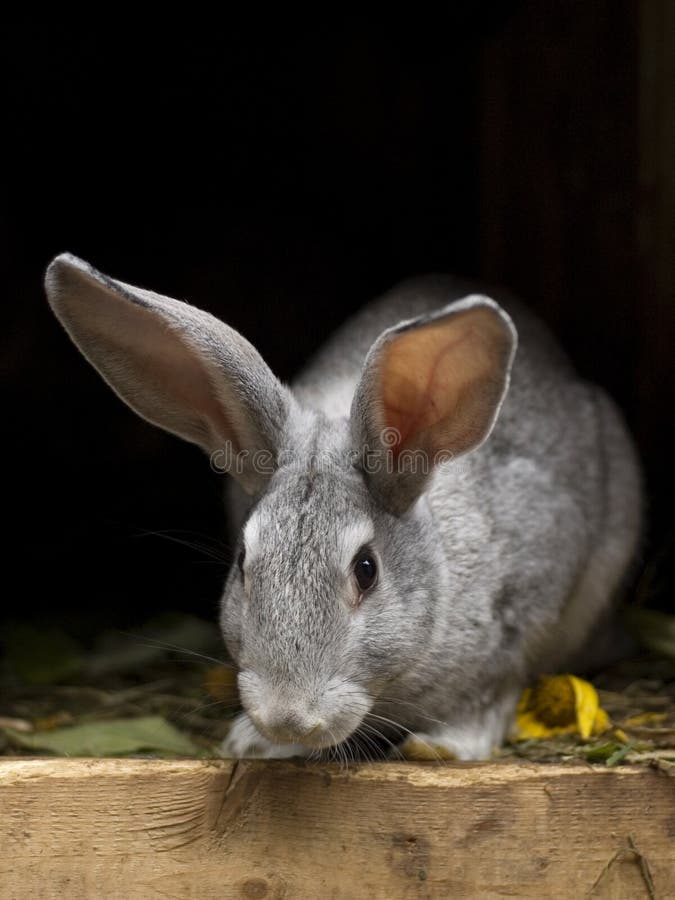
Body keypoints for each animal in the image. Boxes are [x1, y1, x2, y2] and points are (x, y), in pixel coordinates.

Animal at [45, 254, 643, 760]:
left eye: (366, 570)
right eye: (243, 565)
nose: (287, 719)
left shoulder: (526, 607)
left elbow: (490, 692)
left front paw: (443, 749)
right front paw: (252, 745)